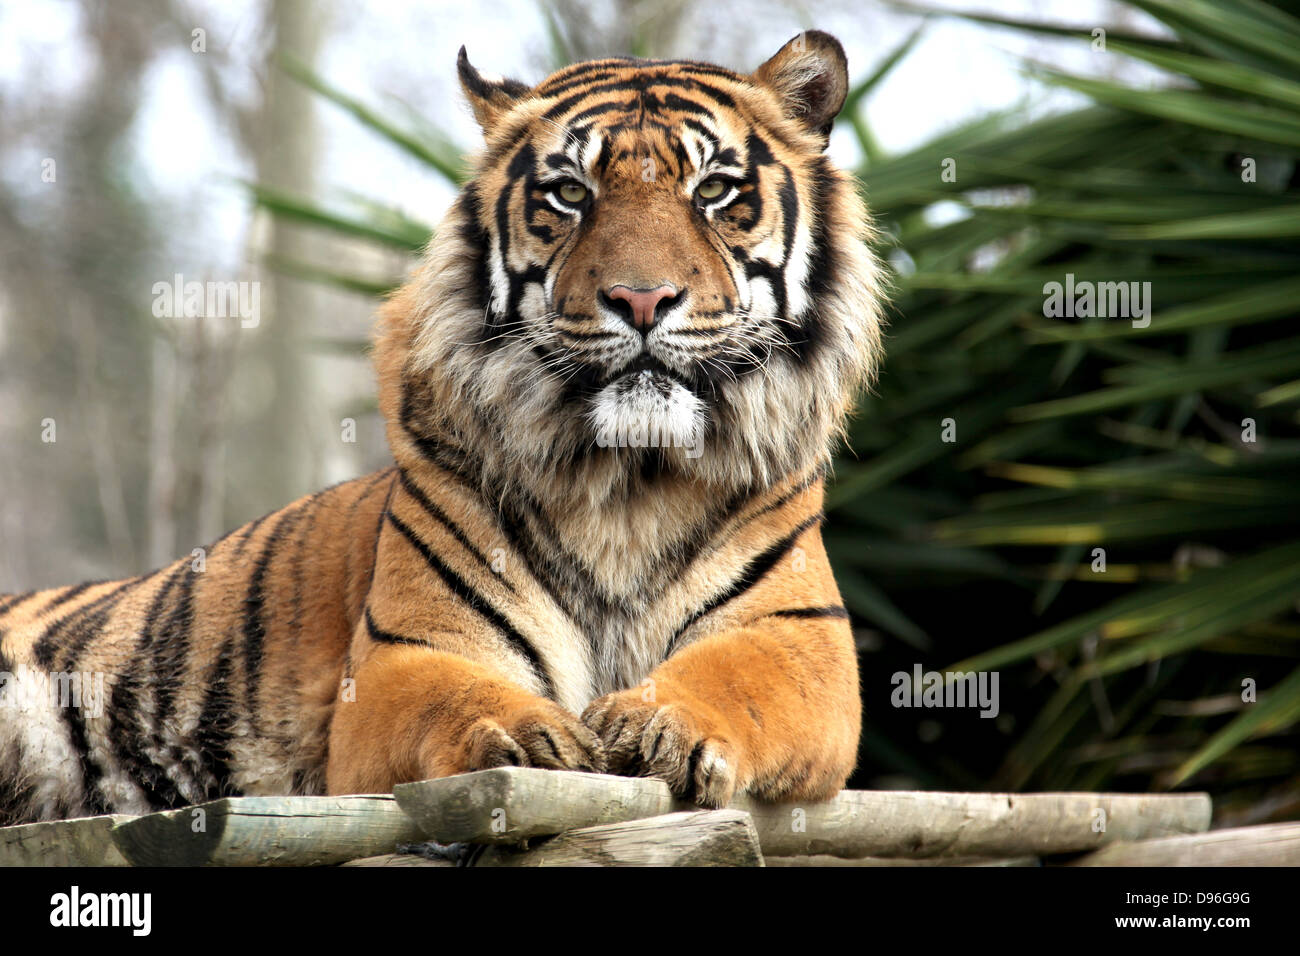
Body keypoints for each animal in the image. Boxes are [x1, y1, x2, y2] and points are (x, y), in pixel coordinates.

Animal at [0, 29, 884, 826]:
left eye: (714, 191)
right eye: (570, 194)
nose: (640, 298)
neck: (628, 479)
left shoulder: (799, 639)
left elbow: (733, 677)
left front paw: (655, 722)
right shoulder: (407, 654)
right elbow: (455, 698)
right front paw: (531, 739)